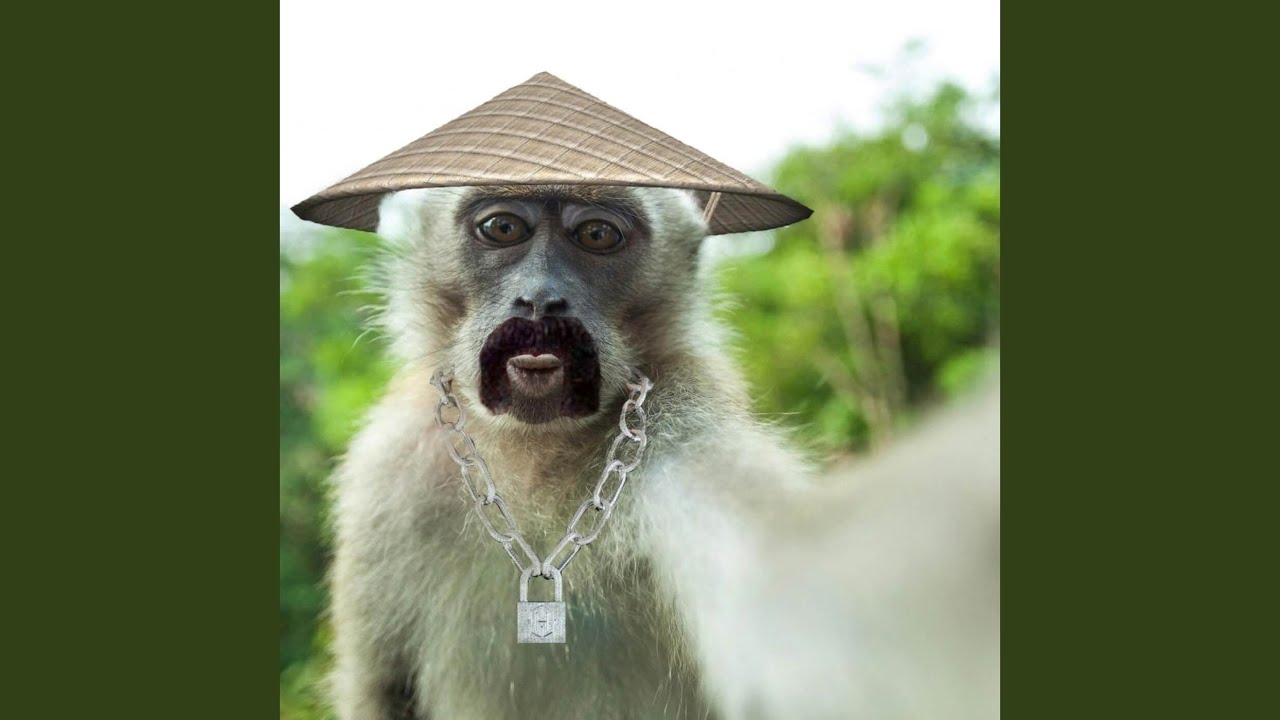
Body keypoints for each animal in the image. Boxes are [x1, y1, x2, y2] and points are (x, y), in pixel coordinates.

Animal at [325, 183, 1000, 720]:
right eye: (503, 228)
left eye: (598, 234)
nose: (541, 300)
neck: (534, 449)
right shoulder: (388, 472)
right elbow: (378, 690)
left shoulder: (676, 419)